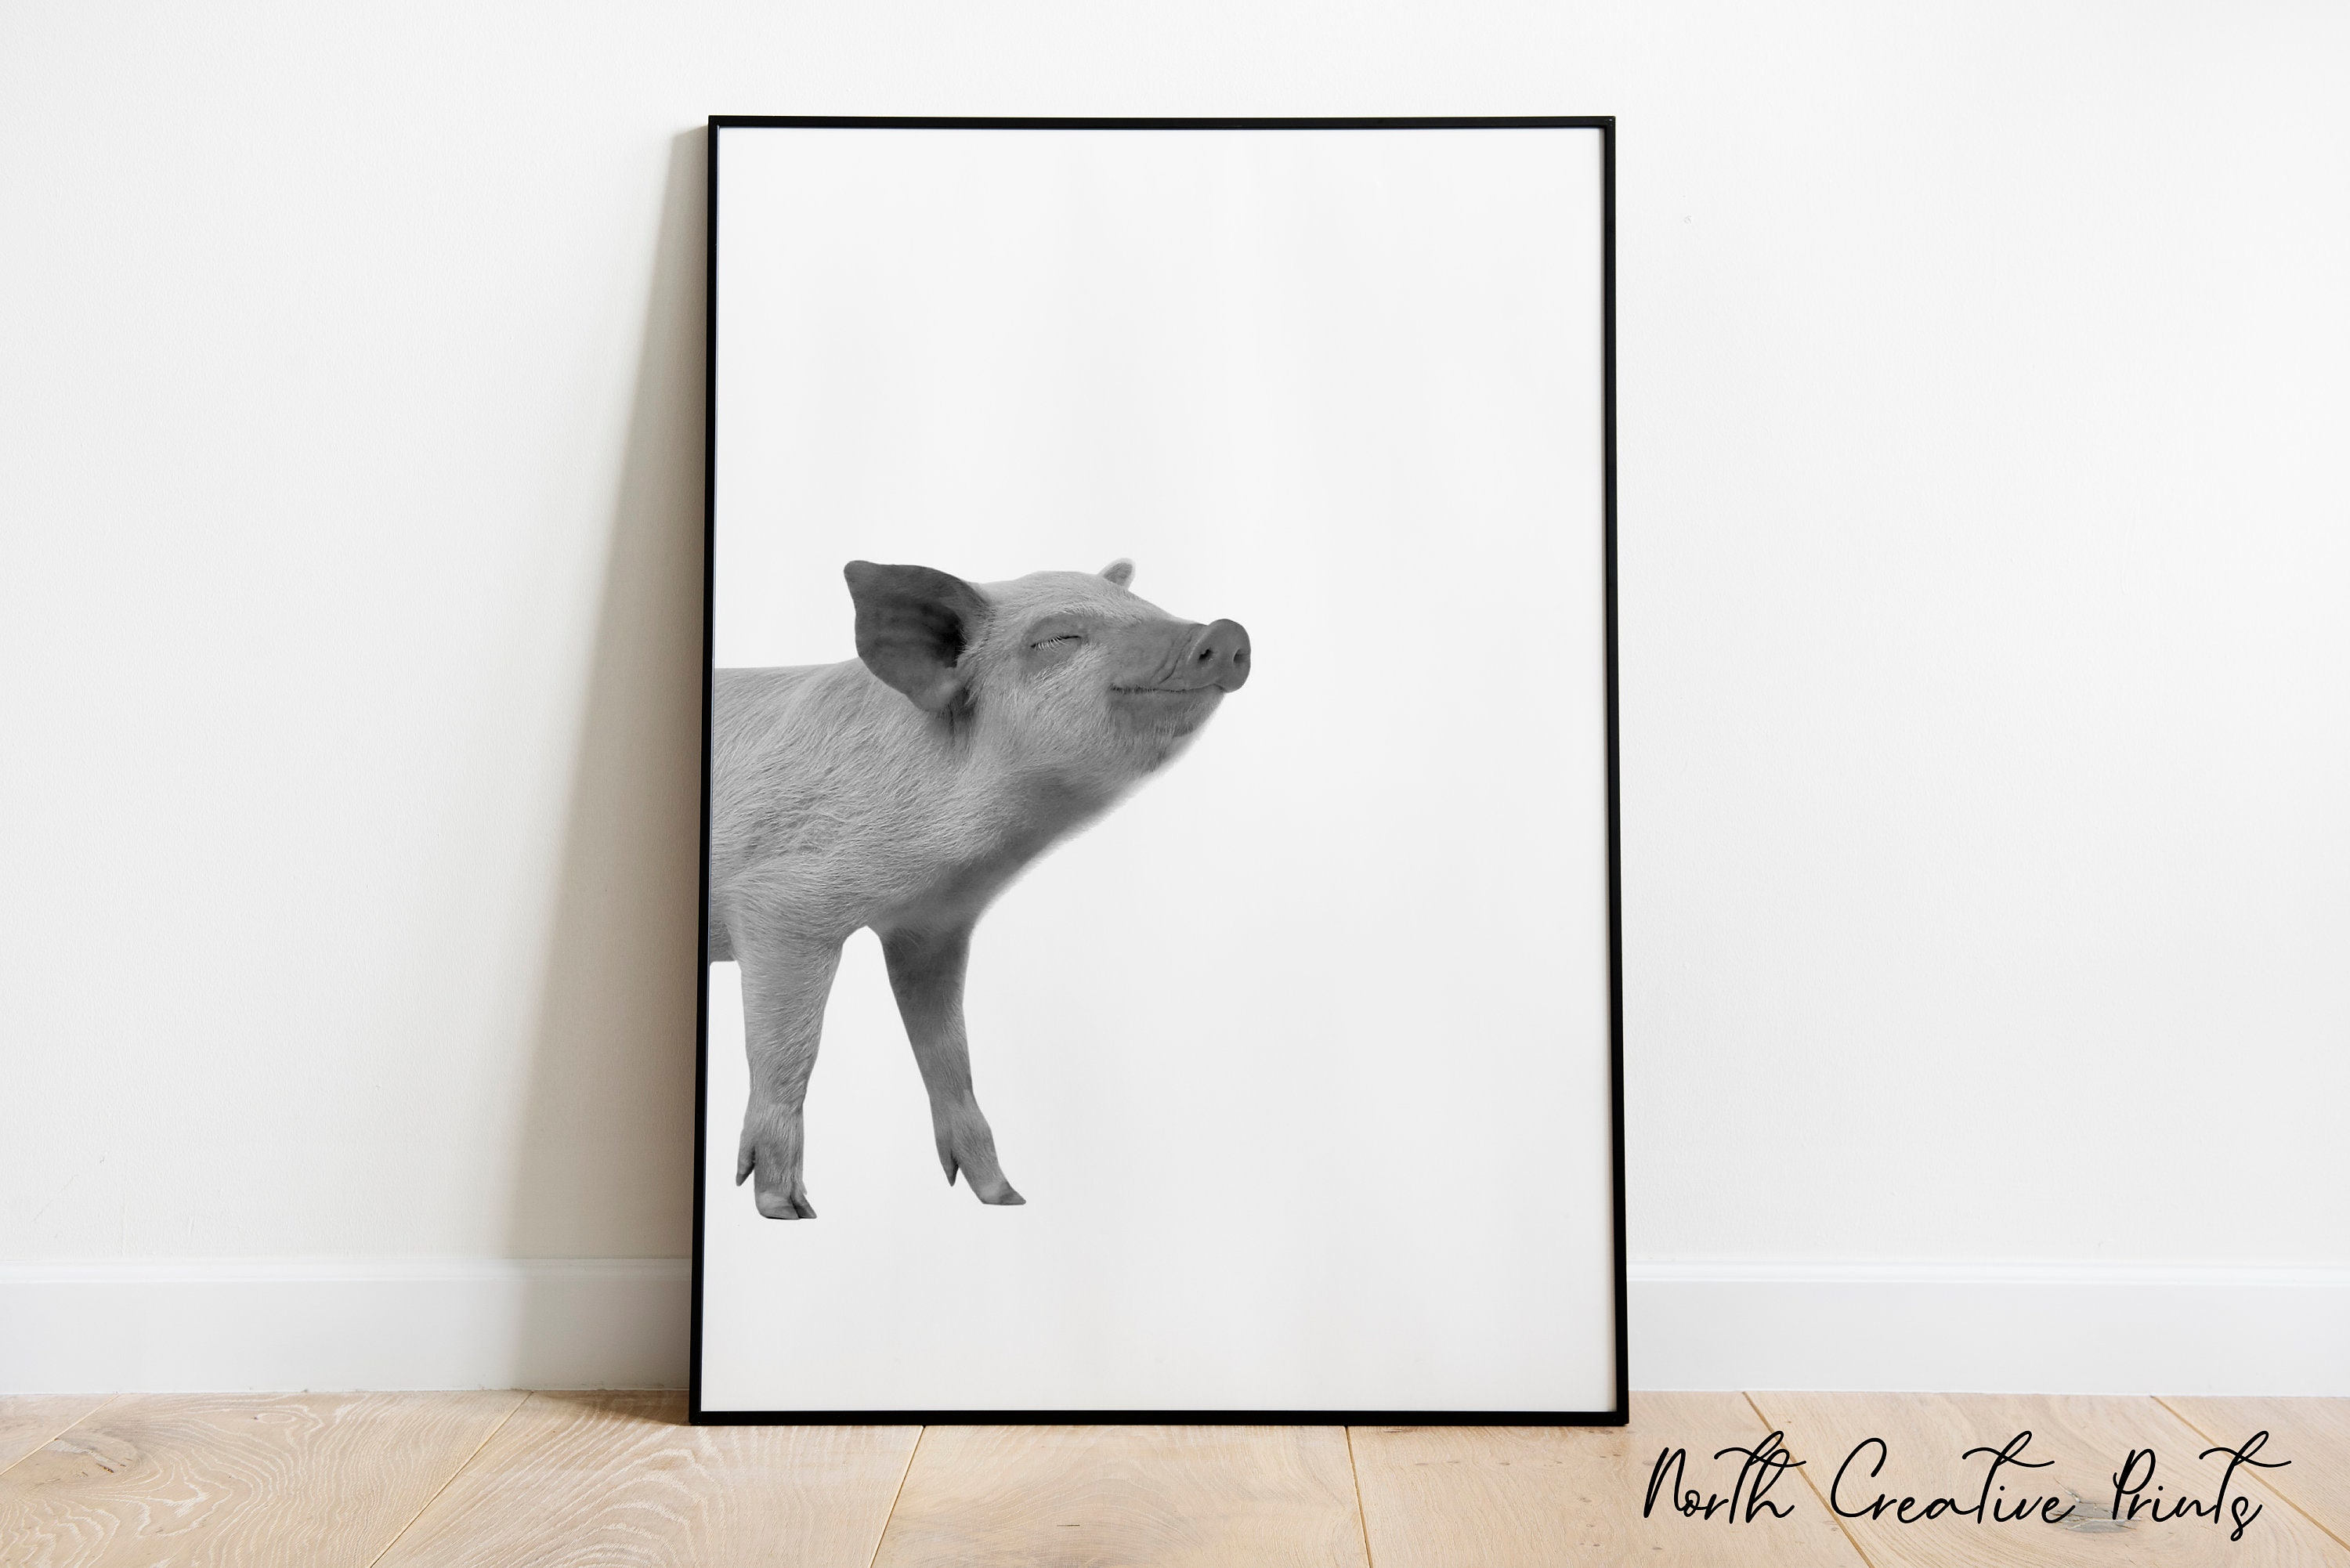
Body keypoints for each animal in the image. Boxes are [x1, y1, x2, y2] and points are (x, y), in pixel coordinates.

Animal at [707, 559, 1251, 1219]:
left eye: (1147, 606)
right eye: (1058, 637)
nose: (1224, 630)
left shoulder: (934, 928)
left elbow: (950, 1053)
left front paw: (1006, 1199)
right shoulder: (782, 902)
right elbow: (791, 1051)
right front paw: (789, 1210)